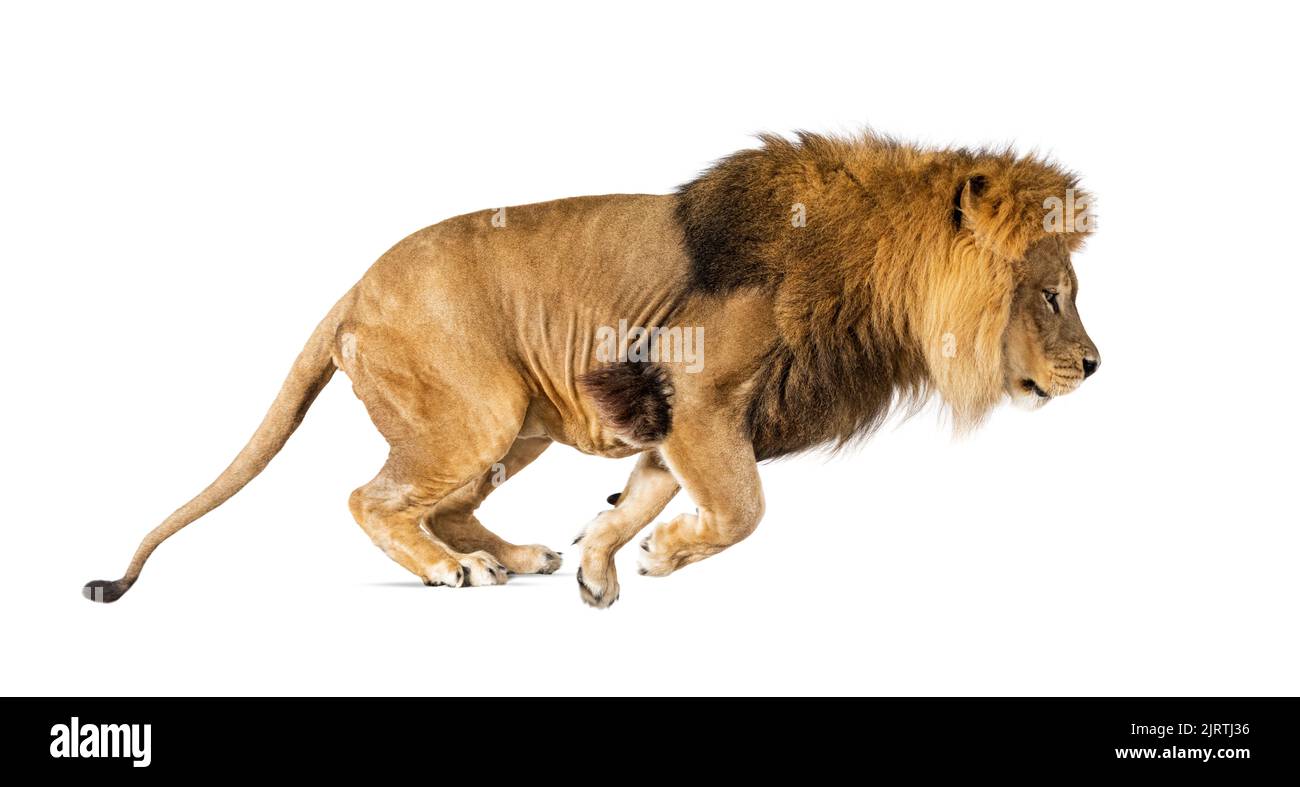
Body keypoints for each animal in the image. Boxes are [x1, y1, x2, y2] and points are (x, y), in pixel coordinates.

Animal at [83, 131, 1100, 608]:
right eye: (1051, 295)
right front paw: (657, 552)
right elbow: (741, 509)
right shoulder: (699, 395)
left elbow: (646, 491)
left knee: (443, 504)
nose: (1095, 365)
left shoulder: (685, 419)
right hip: (482, 407)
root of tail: (352, 287)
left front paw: (605, 561)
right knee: (374, 498)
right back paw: (450, 572)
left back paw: (511, 557)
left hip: (518, 423)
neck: (875, 281)